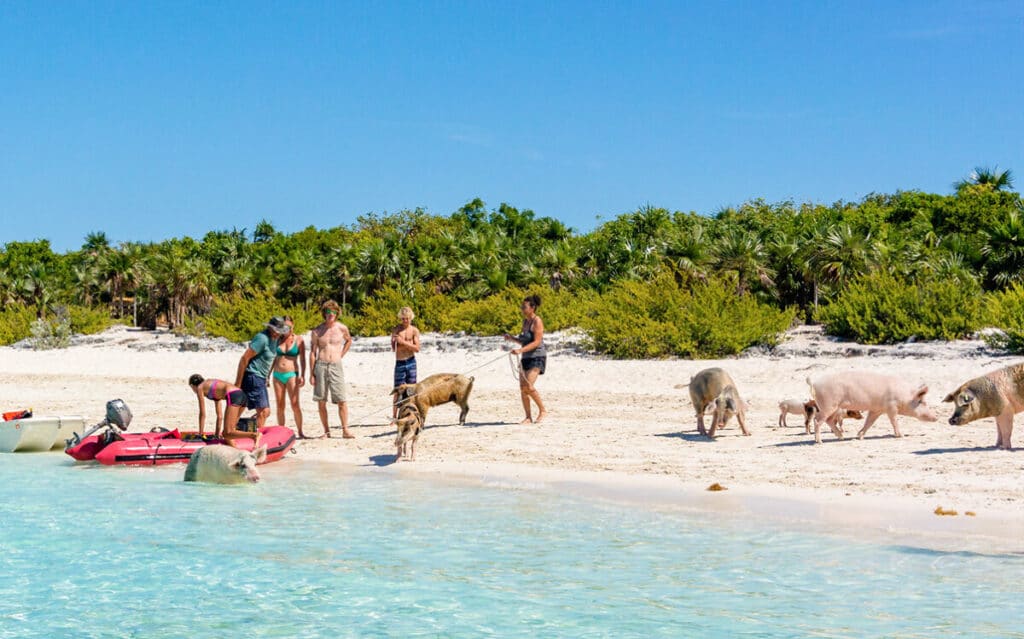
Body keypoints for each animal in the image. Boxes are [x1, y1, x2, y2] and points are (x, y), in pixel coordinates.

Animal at [807, 373, 938, 444]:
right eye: (922, 402)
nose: (936, 417)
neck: (905, 397)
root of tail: (815, 383)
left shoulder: (877, 409)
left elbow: (869, 422)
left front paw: (859, 436)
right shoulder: (891, 407)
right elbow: (894, 421)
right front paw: (901, 435)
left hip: (834, 407)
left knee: (829, 420)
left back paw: (842, 438)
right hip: (828, 404)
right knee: (818, 420)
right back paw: (820, 442)